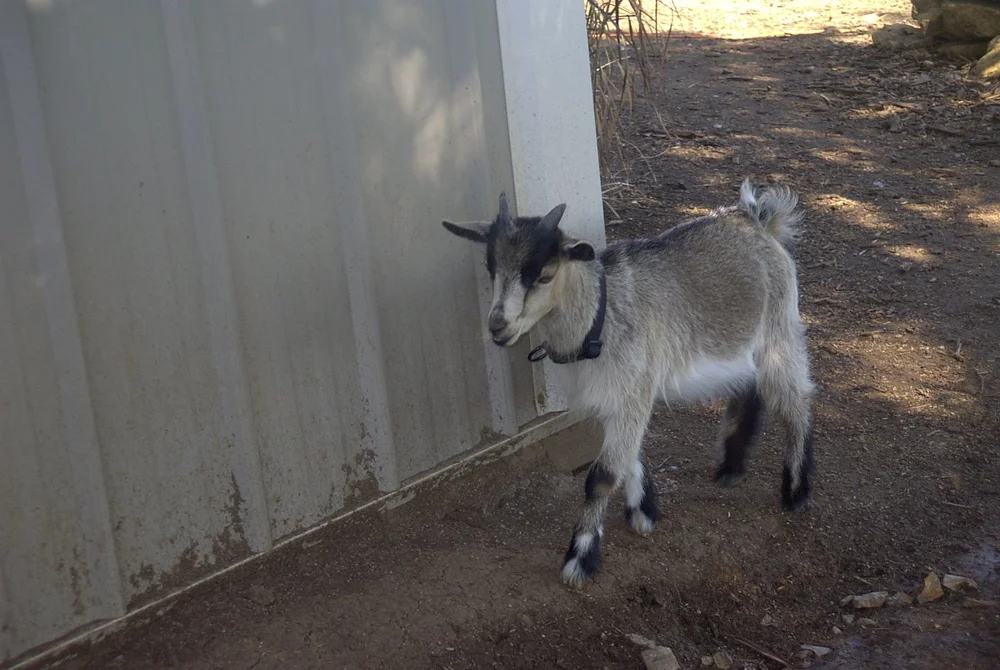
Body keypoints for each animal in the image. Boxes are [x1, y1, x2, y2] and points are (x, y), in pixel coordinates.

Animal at [442, 180, 815, 587]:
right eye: (491, 267)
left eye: (544, 275)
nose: (498, 326)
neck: (599, 319)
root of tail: (756, 220)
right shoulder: (621, 397)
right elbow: (629, 455)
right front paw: (643, 511)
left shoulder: (633, 390)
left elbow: (602, 477)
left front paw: (580, 559)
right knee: (750, 388)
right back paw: (731, 467)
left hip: (779, 329)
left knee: (797, 401)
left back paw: (796, 490)